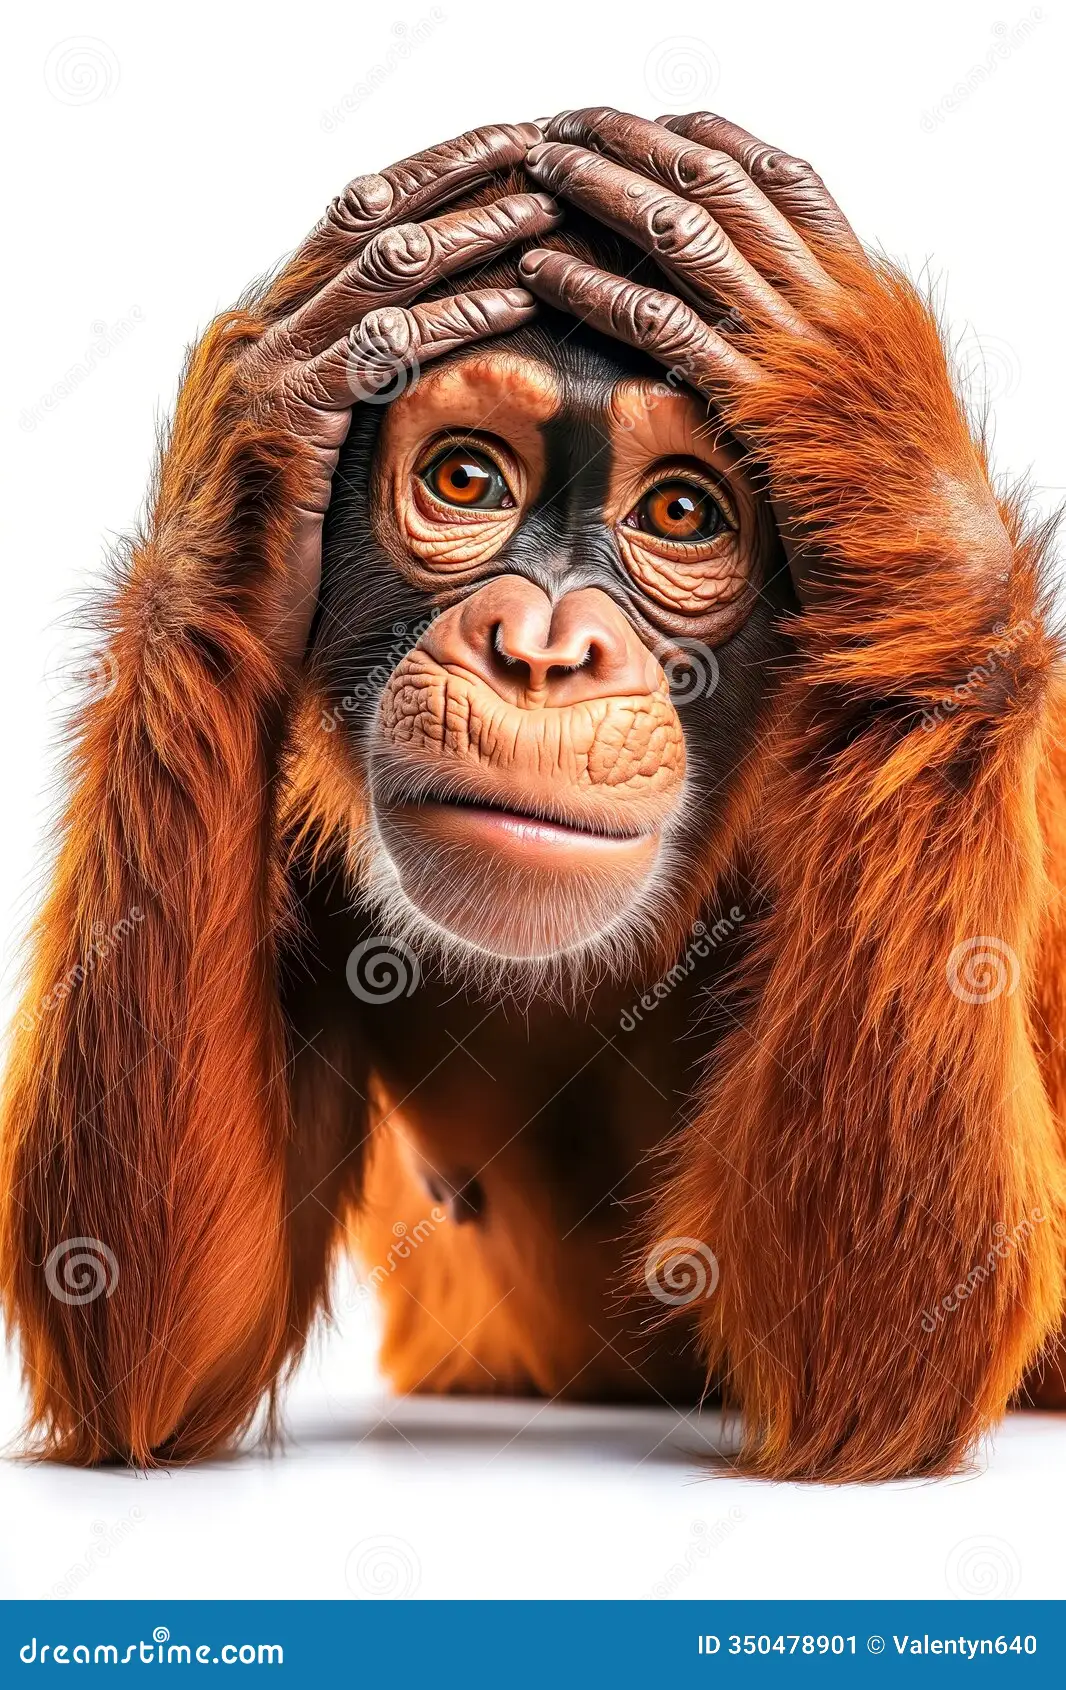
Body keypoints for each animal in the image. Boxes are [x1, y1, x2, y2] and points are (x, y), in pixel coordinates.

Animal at [2, 109, 1065, 1483]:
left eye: (680, 510)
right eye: (466, 481)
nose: (544, 649)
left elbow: (872, 1361)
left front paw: (861, 423)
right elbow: (157, 1342)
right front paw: (259, 454)